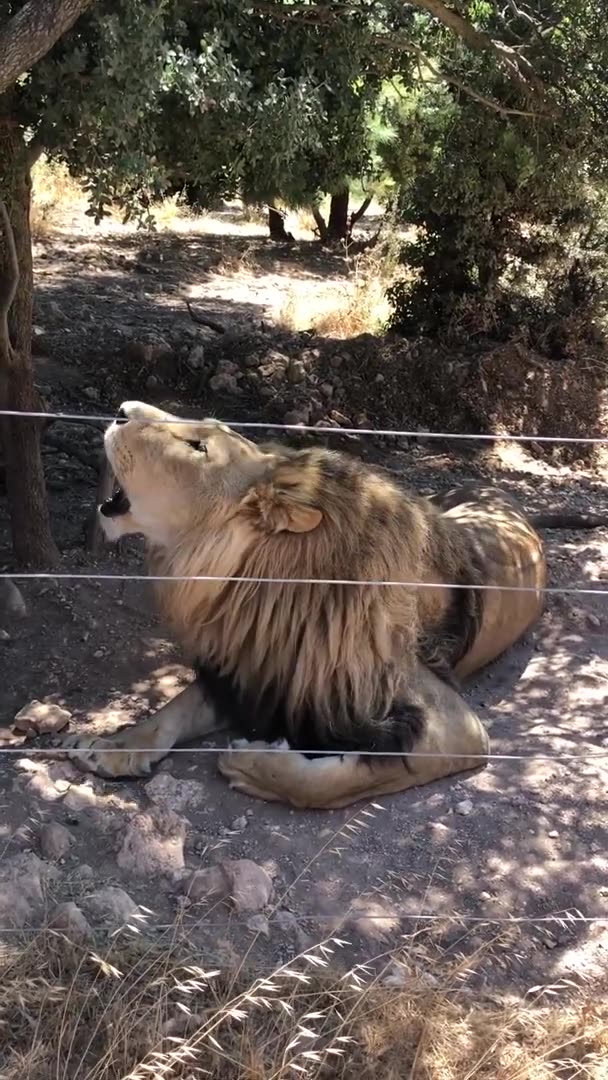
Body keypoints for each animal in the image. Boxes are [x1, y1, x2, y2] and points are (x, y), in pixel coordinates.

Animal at [64, 400, 608, 809]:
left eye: (198, 446)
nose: (120, 410)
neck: (266, 585)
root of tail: (503, 494)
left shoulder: (458, 726)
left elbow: (338, 781)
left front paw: (254, 767)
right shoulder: (259, 667)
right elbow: (174, 708)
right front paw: (113, 746)